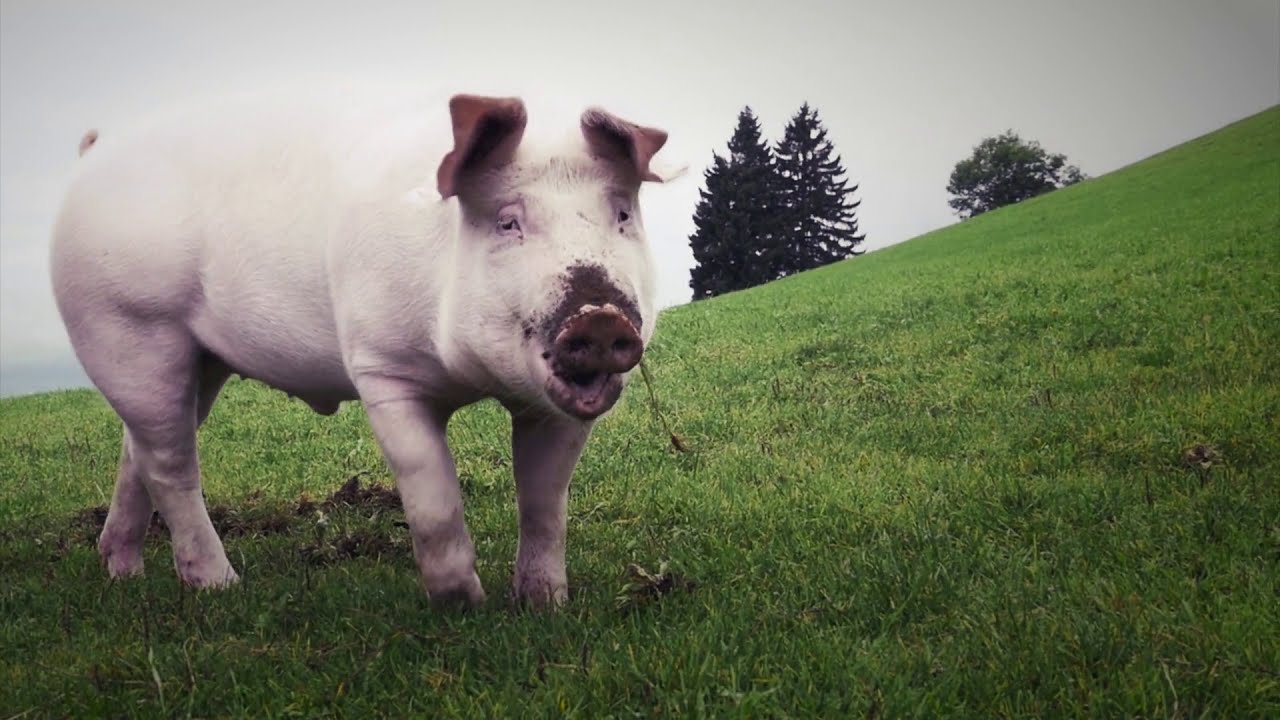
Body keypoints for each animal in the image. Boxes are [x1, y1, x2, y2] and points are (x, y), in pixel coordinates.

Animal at [49, 87, 685, 609]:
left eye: (621, 215)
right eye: (508, 222)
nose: (599, 316)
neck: (468, 380)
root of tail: (94, 153)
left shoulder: (552, 408)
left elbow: (546, 502)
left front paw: (544, 606)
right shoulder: (383, 369)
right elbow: (434, 500)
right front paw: (463, 607)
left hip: (195, 360)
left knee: (139, 451)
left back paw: (124, 574)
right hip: (129, 327)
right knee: (170, 465)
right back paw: (221, 586)